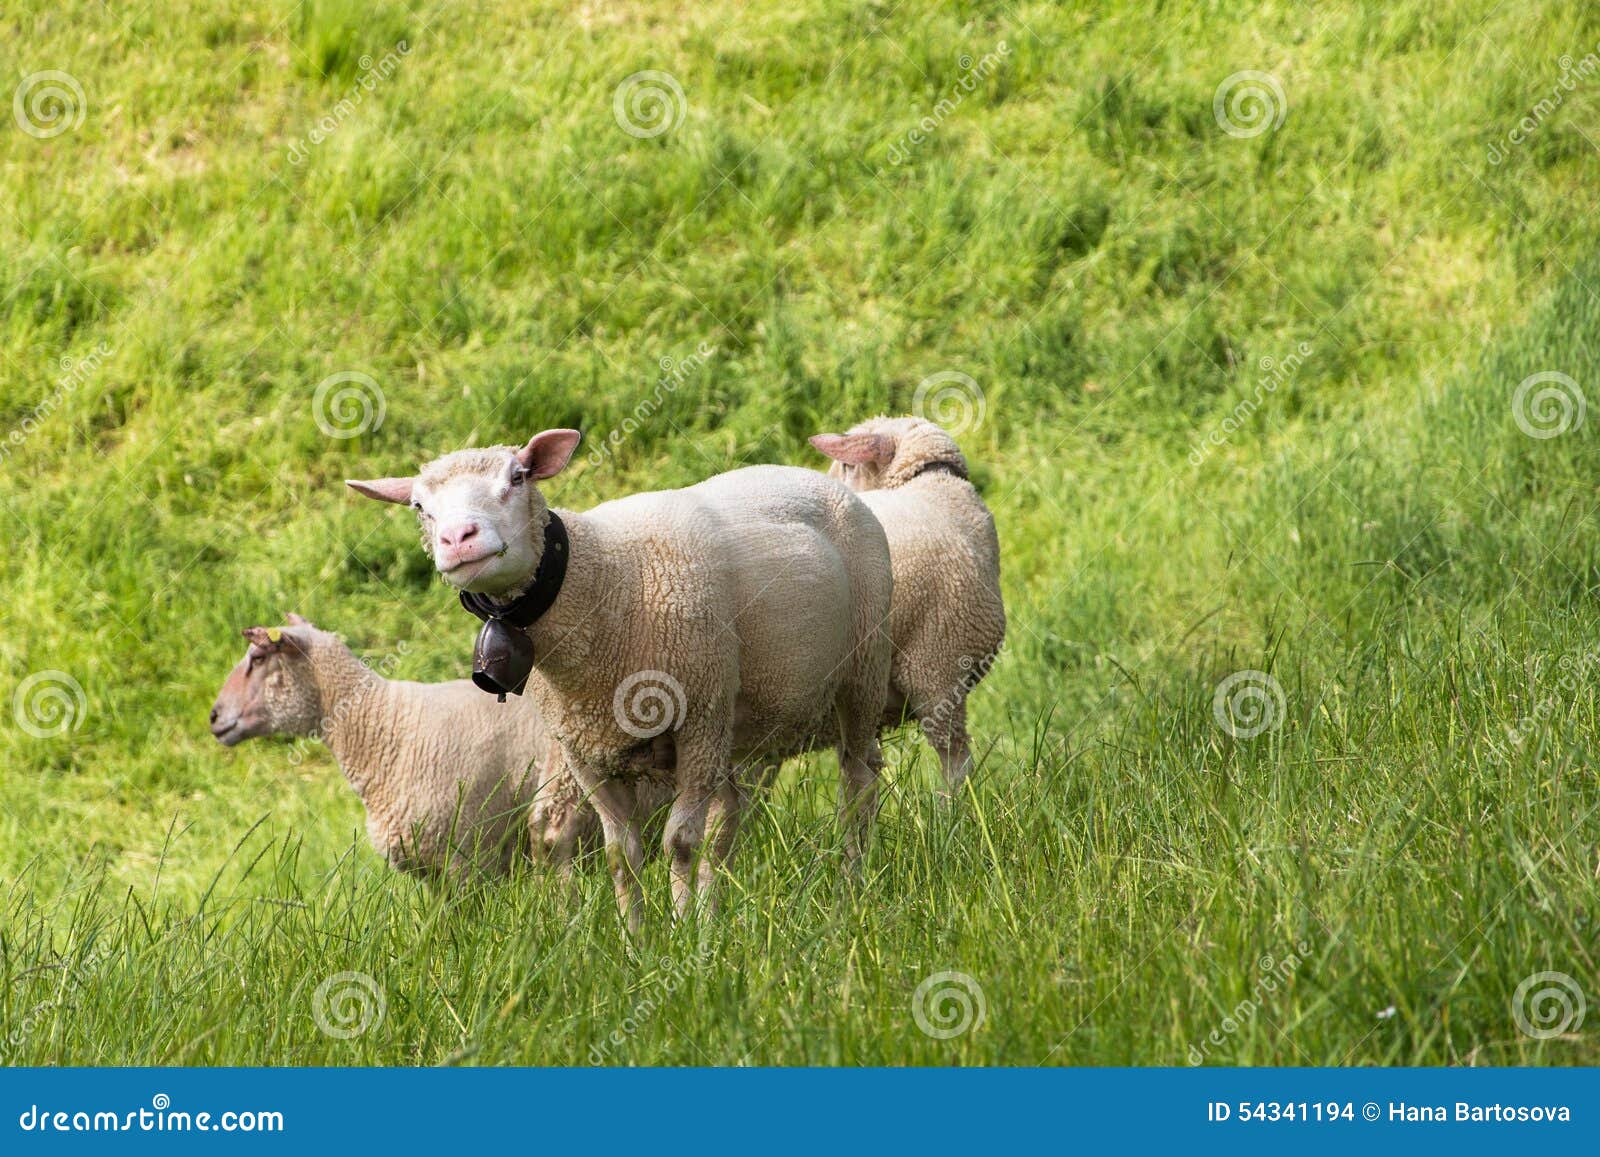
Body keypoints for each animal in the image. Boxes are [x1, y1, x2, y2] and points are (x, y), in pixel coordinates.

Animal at [347, 430, 894, 927]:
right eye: (420, 506)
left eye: (517, 477)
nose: (458, 540)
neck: (605, 577)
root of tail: (809, 474)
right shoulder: (585, 750)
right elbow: (621, 856)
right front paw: (640, 944)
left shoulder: (697, 719)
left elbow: (680, 843)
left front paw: (682, 938)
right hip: (733, 724)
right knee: (729, 818)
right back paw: (716, 918)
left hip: (861, 669)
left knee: (858, 781)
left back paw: (850, 893)